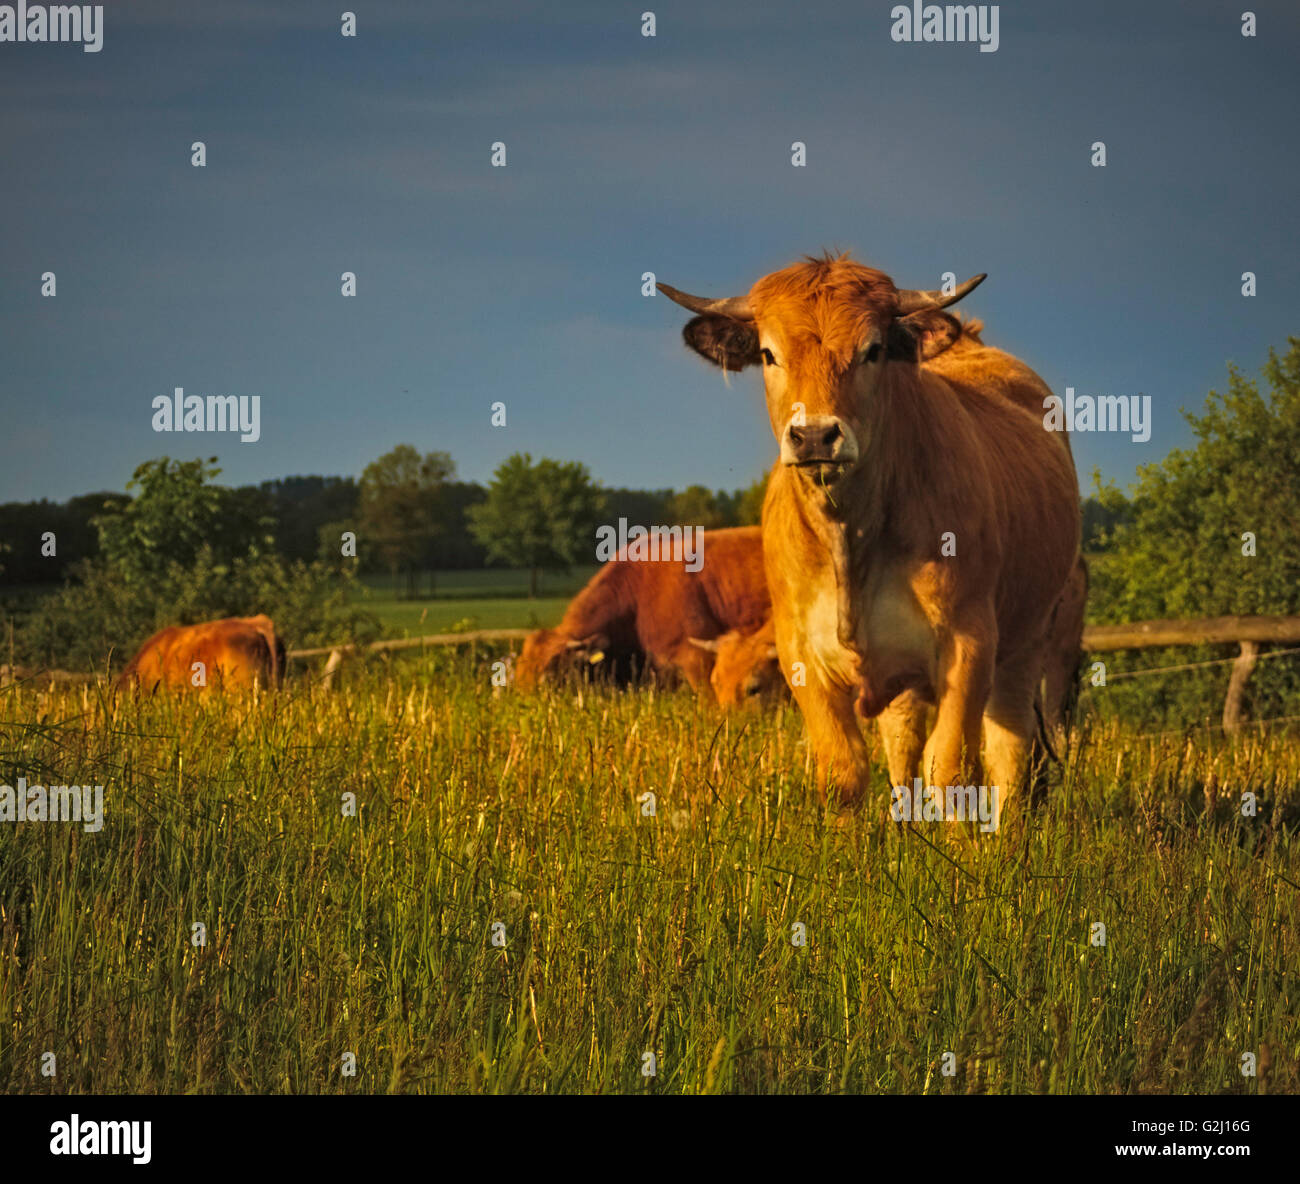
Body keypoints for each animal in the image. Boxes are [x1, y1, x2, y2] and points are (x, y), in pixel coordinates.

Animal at [660, 253, 1081, 823]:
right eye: (769, 354)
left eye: (873, 350)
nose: (814, 435)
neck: (849, 536)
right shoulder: (801, 652)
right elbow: (844, 771)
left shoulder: (969, 644)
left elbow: (952, 770)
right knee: (902, 741)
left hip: (1027, 642)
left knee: (1009, 748)